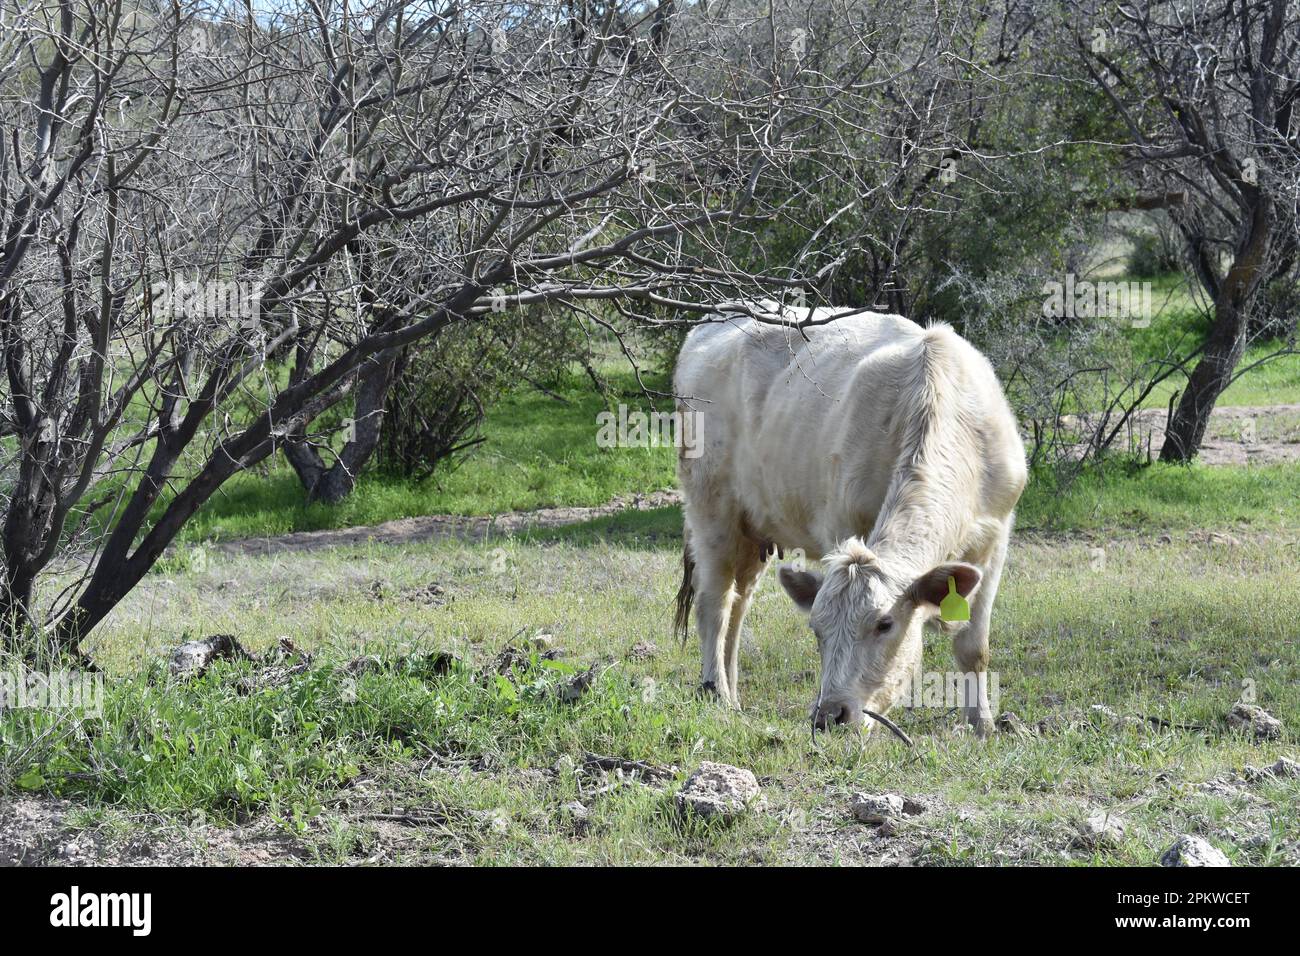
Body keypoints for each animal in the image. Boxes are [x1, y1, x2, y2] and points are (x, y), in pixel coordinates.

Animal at [672, 304, 1027, 737]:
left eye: (884, 624)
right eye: (817, 629)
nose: (830, 716)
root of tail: (713, 320)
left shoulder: (997, 536)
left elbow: (974, 647)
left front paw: (982, 725)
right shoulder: (841, 525)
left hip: (753, 530)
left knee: (739, 607)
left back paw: (735, 695)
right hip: (712, 510)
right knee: (715, 604)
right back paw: (719, 694)